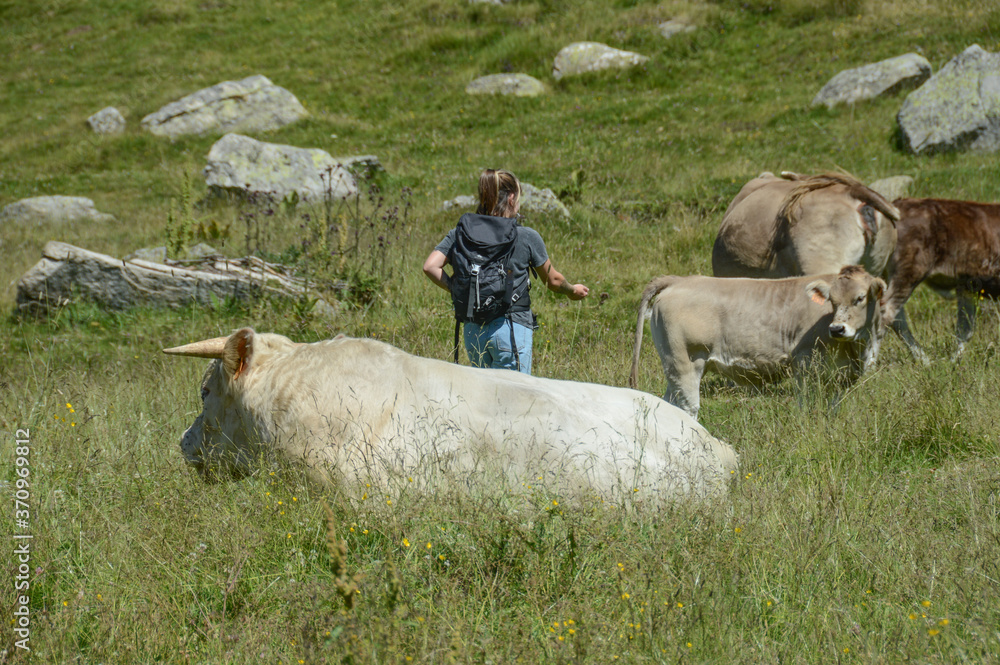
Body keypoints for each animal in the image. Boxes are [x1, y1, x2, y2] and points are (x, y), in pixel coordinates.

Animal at [629, 266, 887, 419]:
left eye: (860, 298)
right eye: (831, 301)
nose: (837, 328)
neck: (859, 350)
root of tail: (680, 280)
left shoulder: (839, 376)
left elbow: (833, 409)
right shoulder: (804, 363)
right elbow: (805, 405)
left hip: (675, 368)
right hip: (685, 363)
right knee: (687, 407)